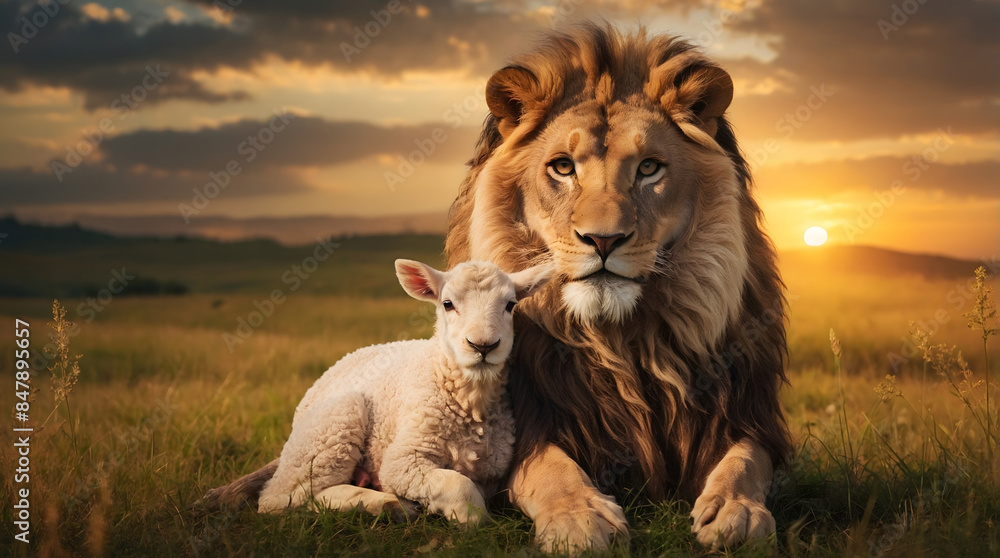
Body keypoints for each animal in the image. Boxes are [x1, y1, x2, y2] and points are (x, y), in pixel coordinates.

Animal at [256, 258, 552, 524]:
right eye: (447, 304)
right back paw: (385, 504)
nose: (483, 345)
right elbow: (461, 489)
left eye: (510, 305)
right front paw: (464, 515)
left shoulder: (492, 469)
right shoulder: (404, 459)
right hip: (330, 428)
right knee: (283, 499)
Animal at [443, 23, 791, 551]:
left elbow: (746, 461)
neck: (619, 340)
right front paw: (579, 518)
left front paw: (738, 510)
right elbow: (550, 470)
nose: (603, 240)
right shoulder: (524, 423)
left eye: (649, 168)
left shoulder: (744, 411)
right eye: (563, 167)